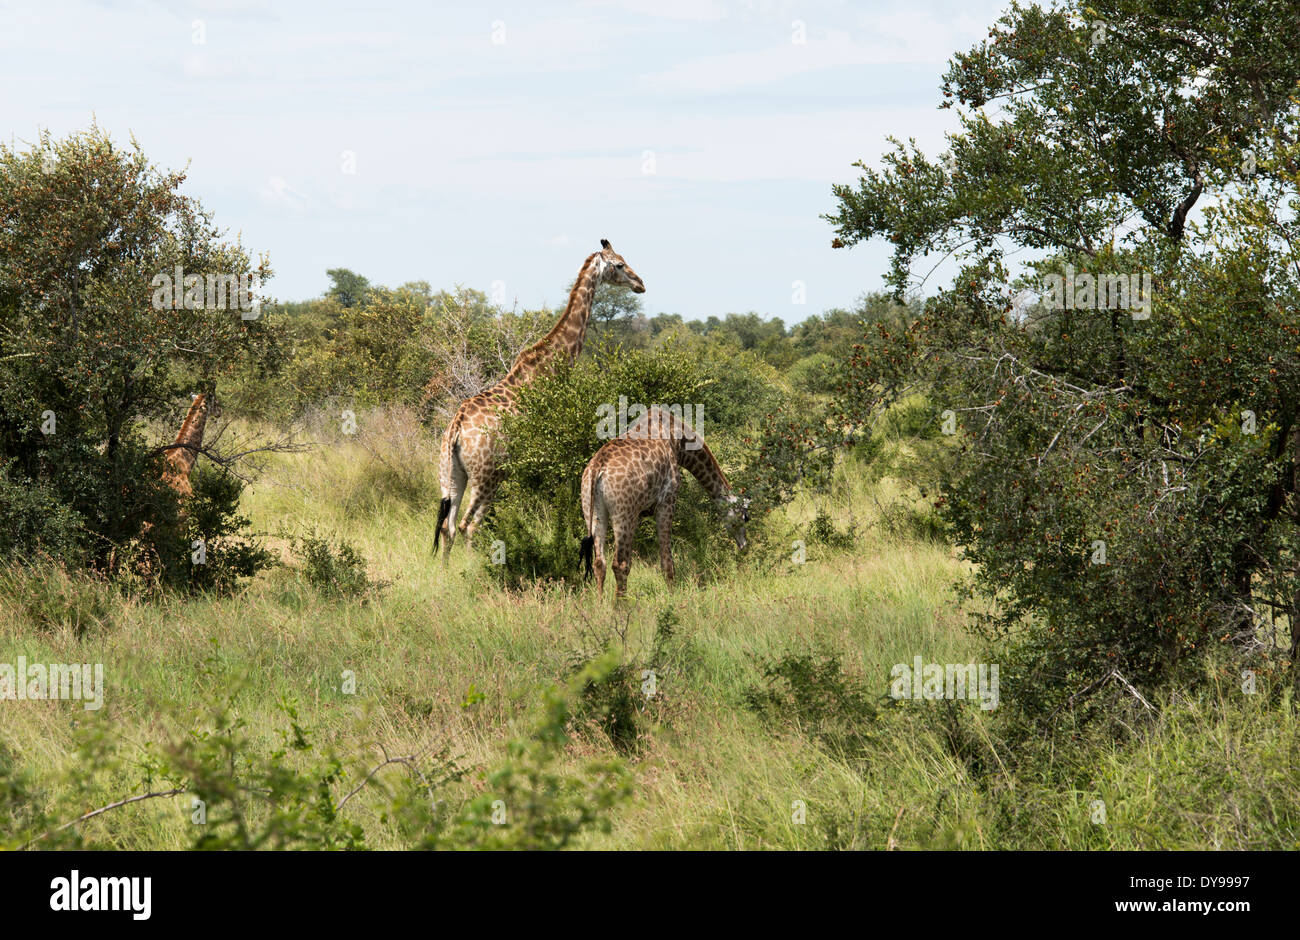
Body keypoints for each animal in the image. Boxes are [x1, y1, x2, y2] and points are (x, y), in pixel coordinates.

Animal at [436, 239, 645, 556]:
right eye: (619, 264)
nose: (640, 283)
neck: (550, 363)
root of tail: (455, 430)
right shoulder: (549, 449)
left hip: (451, 474)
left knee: (448, 527)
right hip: (489, 475)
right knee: (466, 526)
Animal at [578, 406, 748, 599]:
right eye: (745, 517)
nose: (744, 545)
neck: (679, 442)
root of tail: (597, 468)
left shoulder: (644, 511)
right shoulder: (667, 502)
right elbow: (667, 563)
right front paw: (673, 598)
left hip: (594, 512)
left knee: (600, 563)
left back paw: (600, 603)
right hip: (624, 514)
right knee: (620, 564)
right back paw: (621, 605)